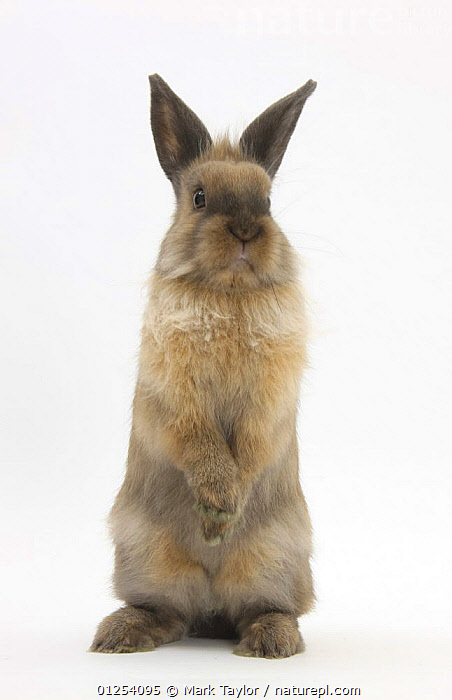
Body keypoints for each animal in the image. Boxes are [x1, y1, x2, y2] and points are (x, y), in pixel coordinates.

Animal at [90, 74, 317, 659]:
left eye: (267, 201)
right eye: (198, 198)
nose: (245, 231)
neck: (229, 292)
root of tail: (213, 603)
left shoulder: (270, 399)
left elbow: (254, 443)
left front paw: (229, 510)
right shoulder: (174, 398)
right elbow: (199, 441)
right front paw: (218, 505)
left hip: (276, 559)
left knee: (268, 608)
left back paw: (270, 641)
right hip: (146, 557)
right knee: (168, 612)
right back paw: (120, 634)